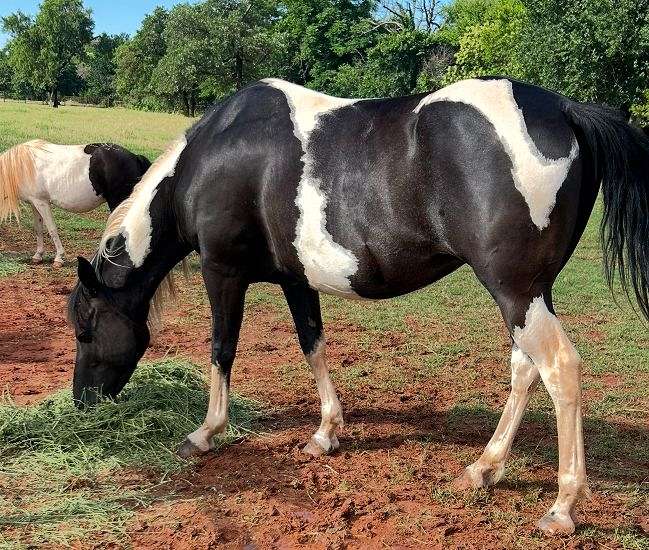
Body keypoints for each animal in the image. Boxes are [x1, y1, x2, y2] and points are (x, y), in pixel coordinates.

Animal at [0, 140, 151, 267]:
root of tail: (135, 157)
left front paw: (59, 258)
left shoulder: (42, 203)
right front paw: (38, 256)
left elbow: (51, 229)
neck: (23, 165)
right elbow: (38, 228)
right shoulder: (35, 203)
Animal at [68, 77, 649, 535]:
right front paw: (325, 433)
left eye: (86, 327)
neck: (213, 155)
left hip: (515, 292)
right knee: (525, 371)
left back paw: (562, 506)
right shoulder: (294, 278)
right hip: (532, 294)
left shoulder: (222, 271)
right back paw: (483, 468)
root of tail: (566, 110)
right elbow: (313, 344)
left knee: (560, 368)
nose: (81, 402)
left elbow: (222, 348)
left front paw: (206, 433)